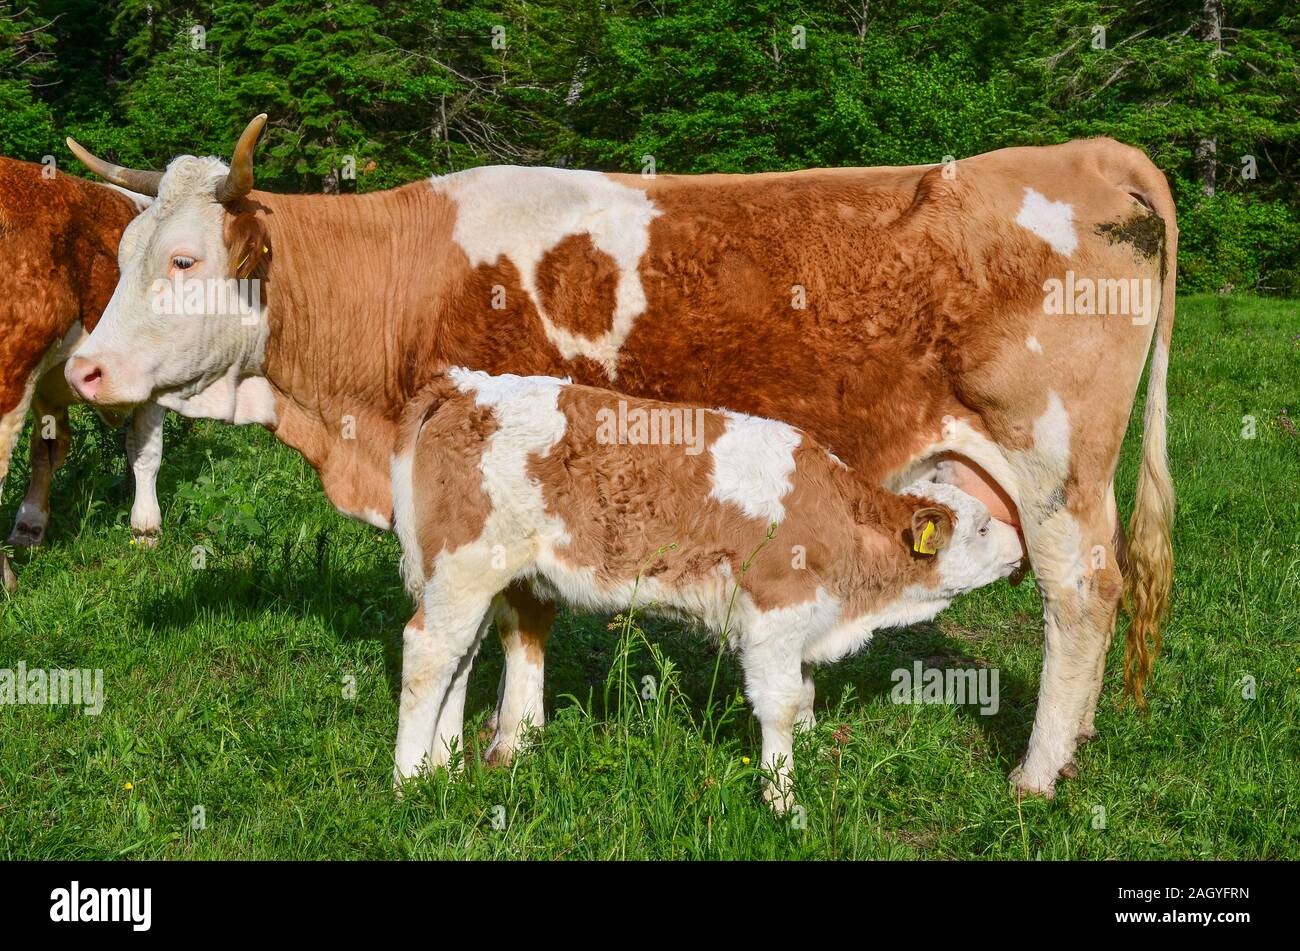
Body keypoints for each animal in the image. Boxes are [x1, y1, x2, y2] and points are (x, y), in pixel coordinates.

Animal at [391, 368, 1026, 808]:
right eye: (982, 526)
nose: (1021, 547)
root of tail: (465, 385)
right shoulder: (773, 613)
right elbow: (780, 704)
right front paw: (782, 799)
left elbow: (804, 694)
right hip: (464, 568)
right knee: (428, 655)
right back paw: (408, 782)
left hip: (473, 578)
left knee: (459, 659)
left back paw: (444, 767)